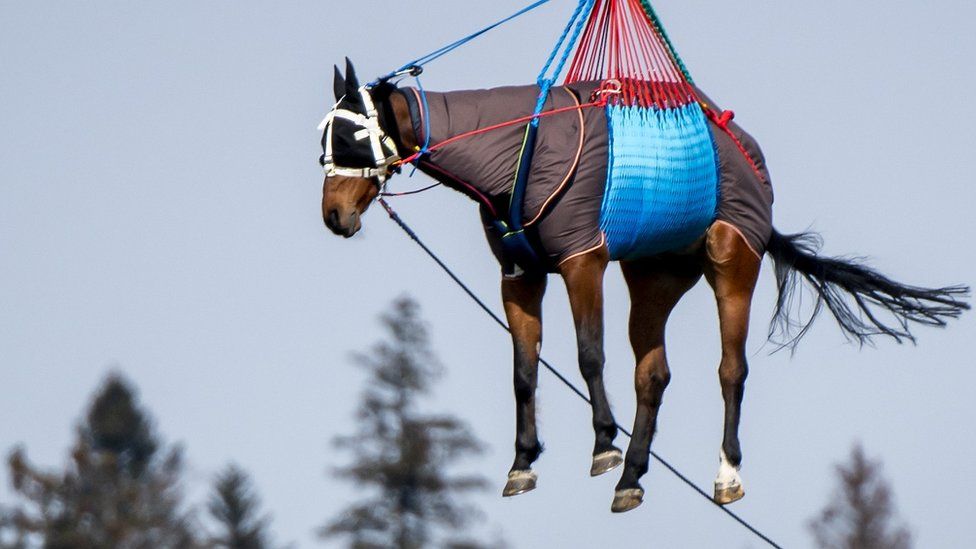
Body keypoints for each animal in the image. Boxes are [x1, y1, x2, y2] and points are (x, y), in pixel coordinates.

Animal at [319, 59, 969, 512]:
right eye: (322, 140)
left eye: (348, 139)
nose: (334, 215)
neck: (521, 144)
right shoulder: (520, 275)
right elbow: (524, 371)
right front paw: (523, 462)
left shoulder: (582, 260)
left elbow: (588, 353)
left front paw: (603, 442)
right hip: (656, 276)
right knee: (652, 374)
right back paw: (633, 475)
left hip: (733, 259)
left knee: (731, 371)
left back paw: (723, 472)